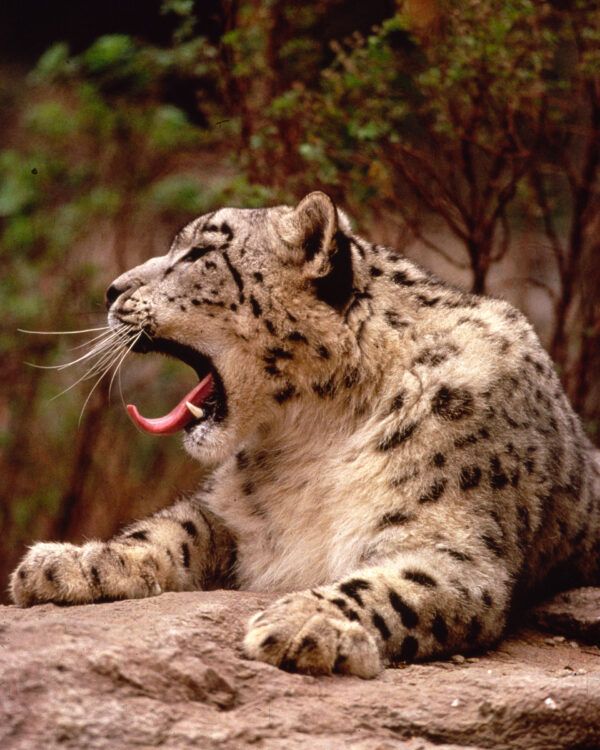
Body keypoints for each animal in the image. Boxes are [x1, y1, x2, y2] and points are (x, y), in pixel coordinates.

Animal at [10, 191, 600, 678]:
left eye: (198, 254)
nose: (111, 290)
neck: (317, 435)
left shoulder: (451, 544)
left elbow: (393, 585)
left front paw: (304, 622)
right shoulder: (233, 517)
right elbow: (168, 529)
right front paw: (67, 565)